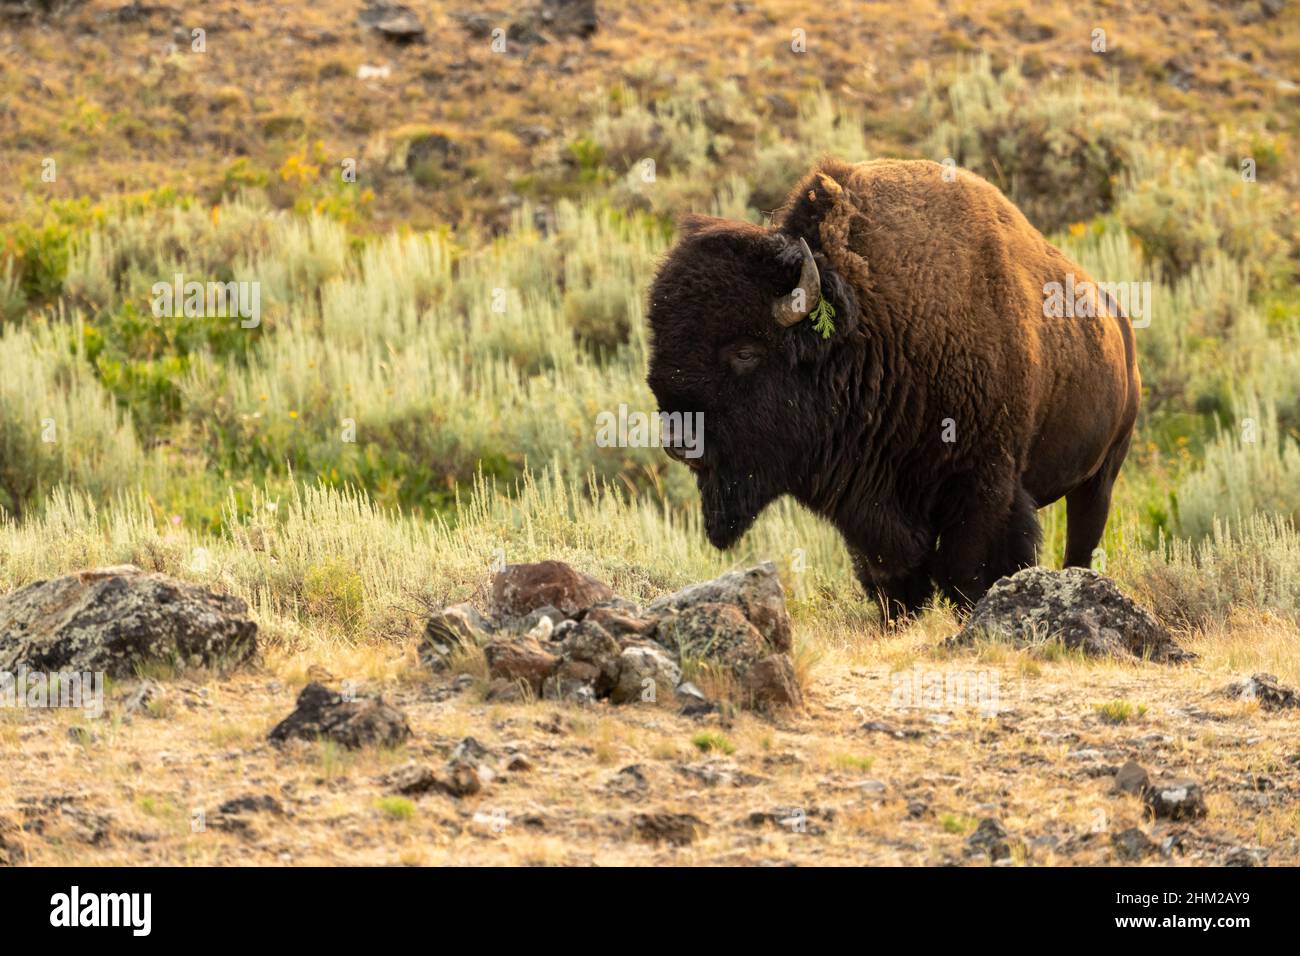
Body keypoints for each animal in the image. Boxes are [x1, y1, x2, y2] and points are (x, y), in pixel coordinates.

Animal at [646, 159, 1140, 617]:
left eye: (746, 352)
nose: (678, 440)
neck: (877, 325)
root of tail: (1119, 322)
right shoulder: (863, 505)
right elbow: (890, 577)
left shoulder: (985, 486)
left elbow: (969, 569)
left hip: (1101, 475)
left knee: (1083, 540)